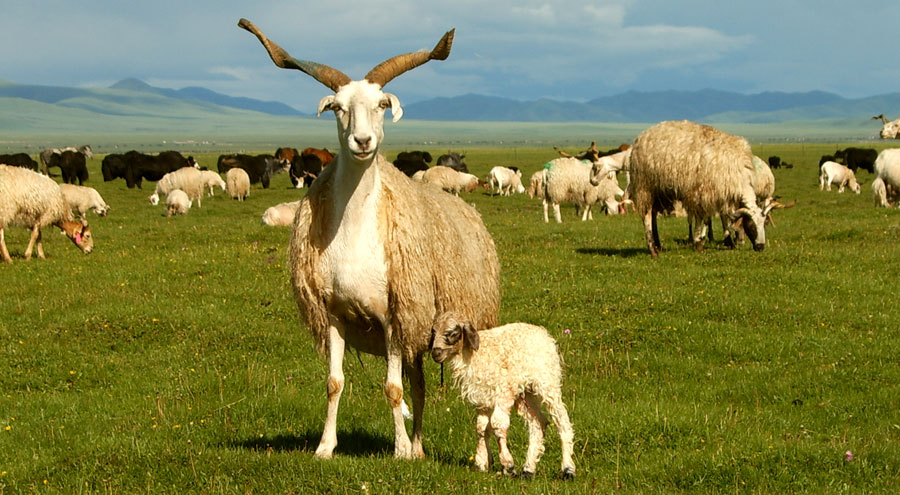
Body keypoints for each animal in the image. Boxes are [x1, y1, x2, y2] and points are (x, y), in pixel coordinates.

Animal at [240, 19, 499, 460]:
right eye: (339, 108)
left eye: (381, 105)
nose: (362, 142)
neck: (356, 234)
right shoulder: (334, 315)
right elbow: (335, 383)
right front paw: (325, 447)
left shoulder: (395, 316)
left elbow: (392, 389)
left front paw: (398, 450)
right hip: (417, 335)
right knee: (420, 386)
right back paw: (419, 448)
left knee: (424, 386)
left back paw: (431, 449)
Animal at [430, 311, 575, 479]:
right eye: (433, 332)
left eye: (452, 333)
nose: (435, 353)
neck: (474, 355)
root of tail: (542, 332)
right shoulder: (482, 399)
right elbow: (481, 428)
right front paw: (482, 462)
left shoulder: (503, 392)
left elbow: (497, 425)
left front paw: (508, 466)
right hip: (525, 393)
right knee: (538, 424)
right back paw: (528, 470)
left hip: (547, 381)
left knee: (562, 421)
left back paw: (568, 469)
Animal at [628, 120, 769, 256]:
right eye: (751, 225)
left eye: (764, 224)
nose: (761, 247)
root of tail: (642, 136)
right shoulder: (704, 192)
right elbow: (704, 218)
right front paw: (699, 243)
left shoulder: (718, 195)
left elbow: (716, 218)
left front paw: (720, 242)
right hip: (645, 186)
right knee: (646, 216)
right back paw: (653, 249)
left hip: (659, 190)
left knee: (653, 214)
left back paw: (658, 245)